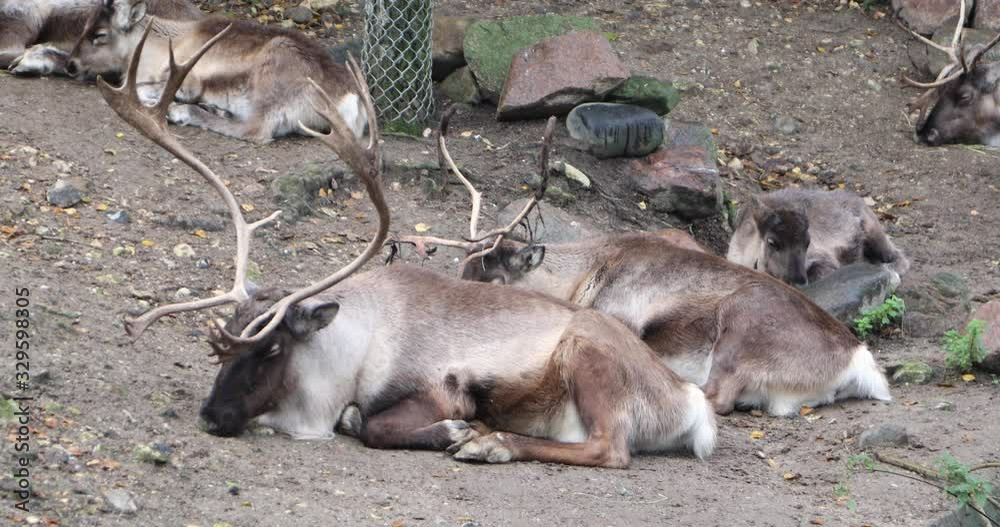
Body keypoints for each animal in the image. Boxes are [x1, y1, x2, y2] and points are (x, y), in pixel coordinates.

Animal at [67, 0, 366, 143]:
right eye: (85, 25)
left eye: (99, 34)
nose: (71, 64)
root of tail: (351, 99)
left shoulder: (187, 76)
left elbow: (149, 89)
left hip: (271, 82)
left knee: (255, 131)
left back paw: (183, 112)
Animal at [96, 26, 717, 468]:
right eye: (220, 349)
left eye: (271, 348)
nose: (212, 415)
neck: (352, 347)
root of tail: (689, 402)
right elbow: (358, 421)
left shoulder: (440, 389)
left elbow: (376, 426)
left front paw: (458, 431)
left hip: (590, 360)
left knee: (610, 448)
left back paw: (491, 443)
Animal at [726, 188, 910, 286]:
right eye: (772, 242)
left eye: (808, 242)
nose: (798, 281)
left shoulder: (824, 260)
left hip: (874, 232)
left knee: (899, 257)